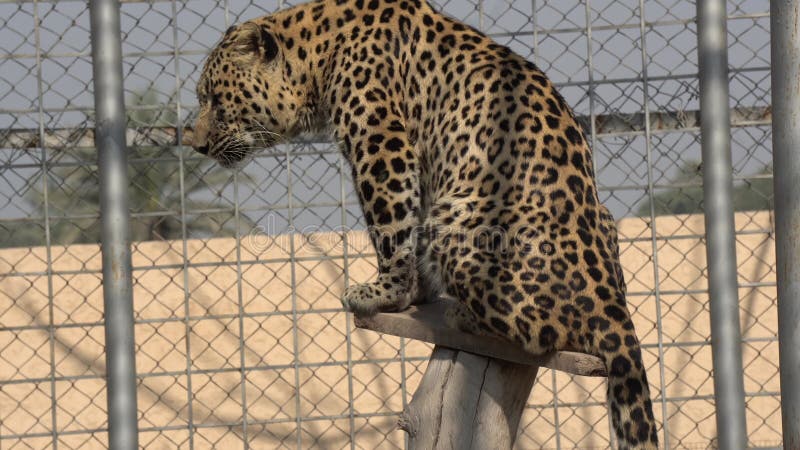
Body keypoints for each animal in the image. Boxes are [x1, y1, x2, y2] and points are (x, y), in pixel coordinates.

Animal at [191, 0, 658, 447]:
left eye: (213, 98)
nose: (195, 145)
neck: (320, 52)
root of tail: (610, 303)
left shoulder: (380, 141)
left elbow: (390, 220)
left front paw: (384, 293)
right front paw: (416, 292)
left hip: (459, 223)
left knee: (546, 333)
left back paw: (463, 317)